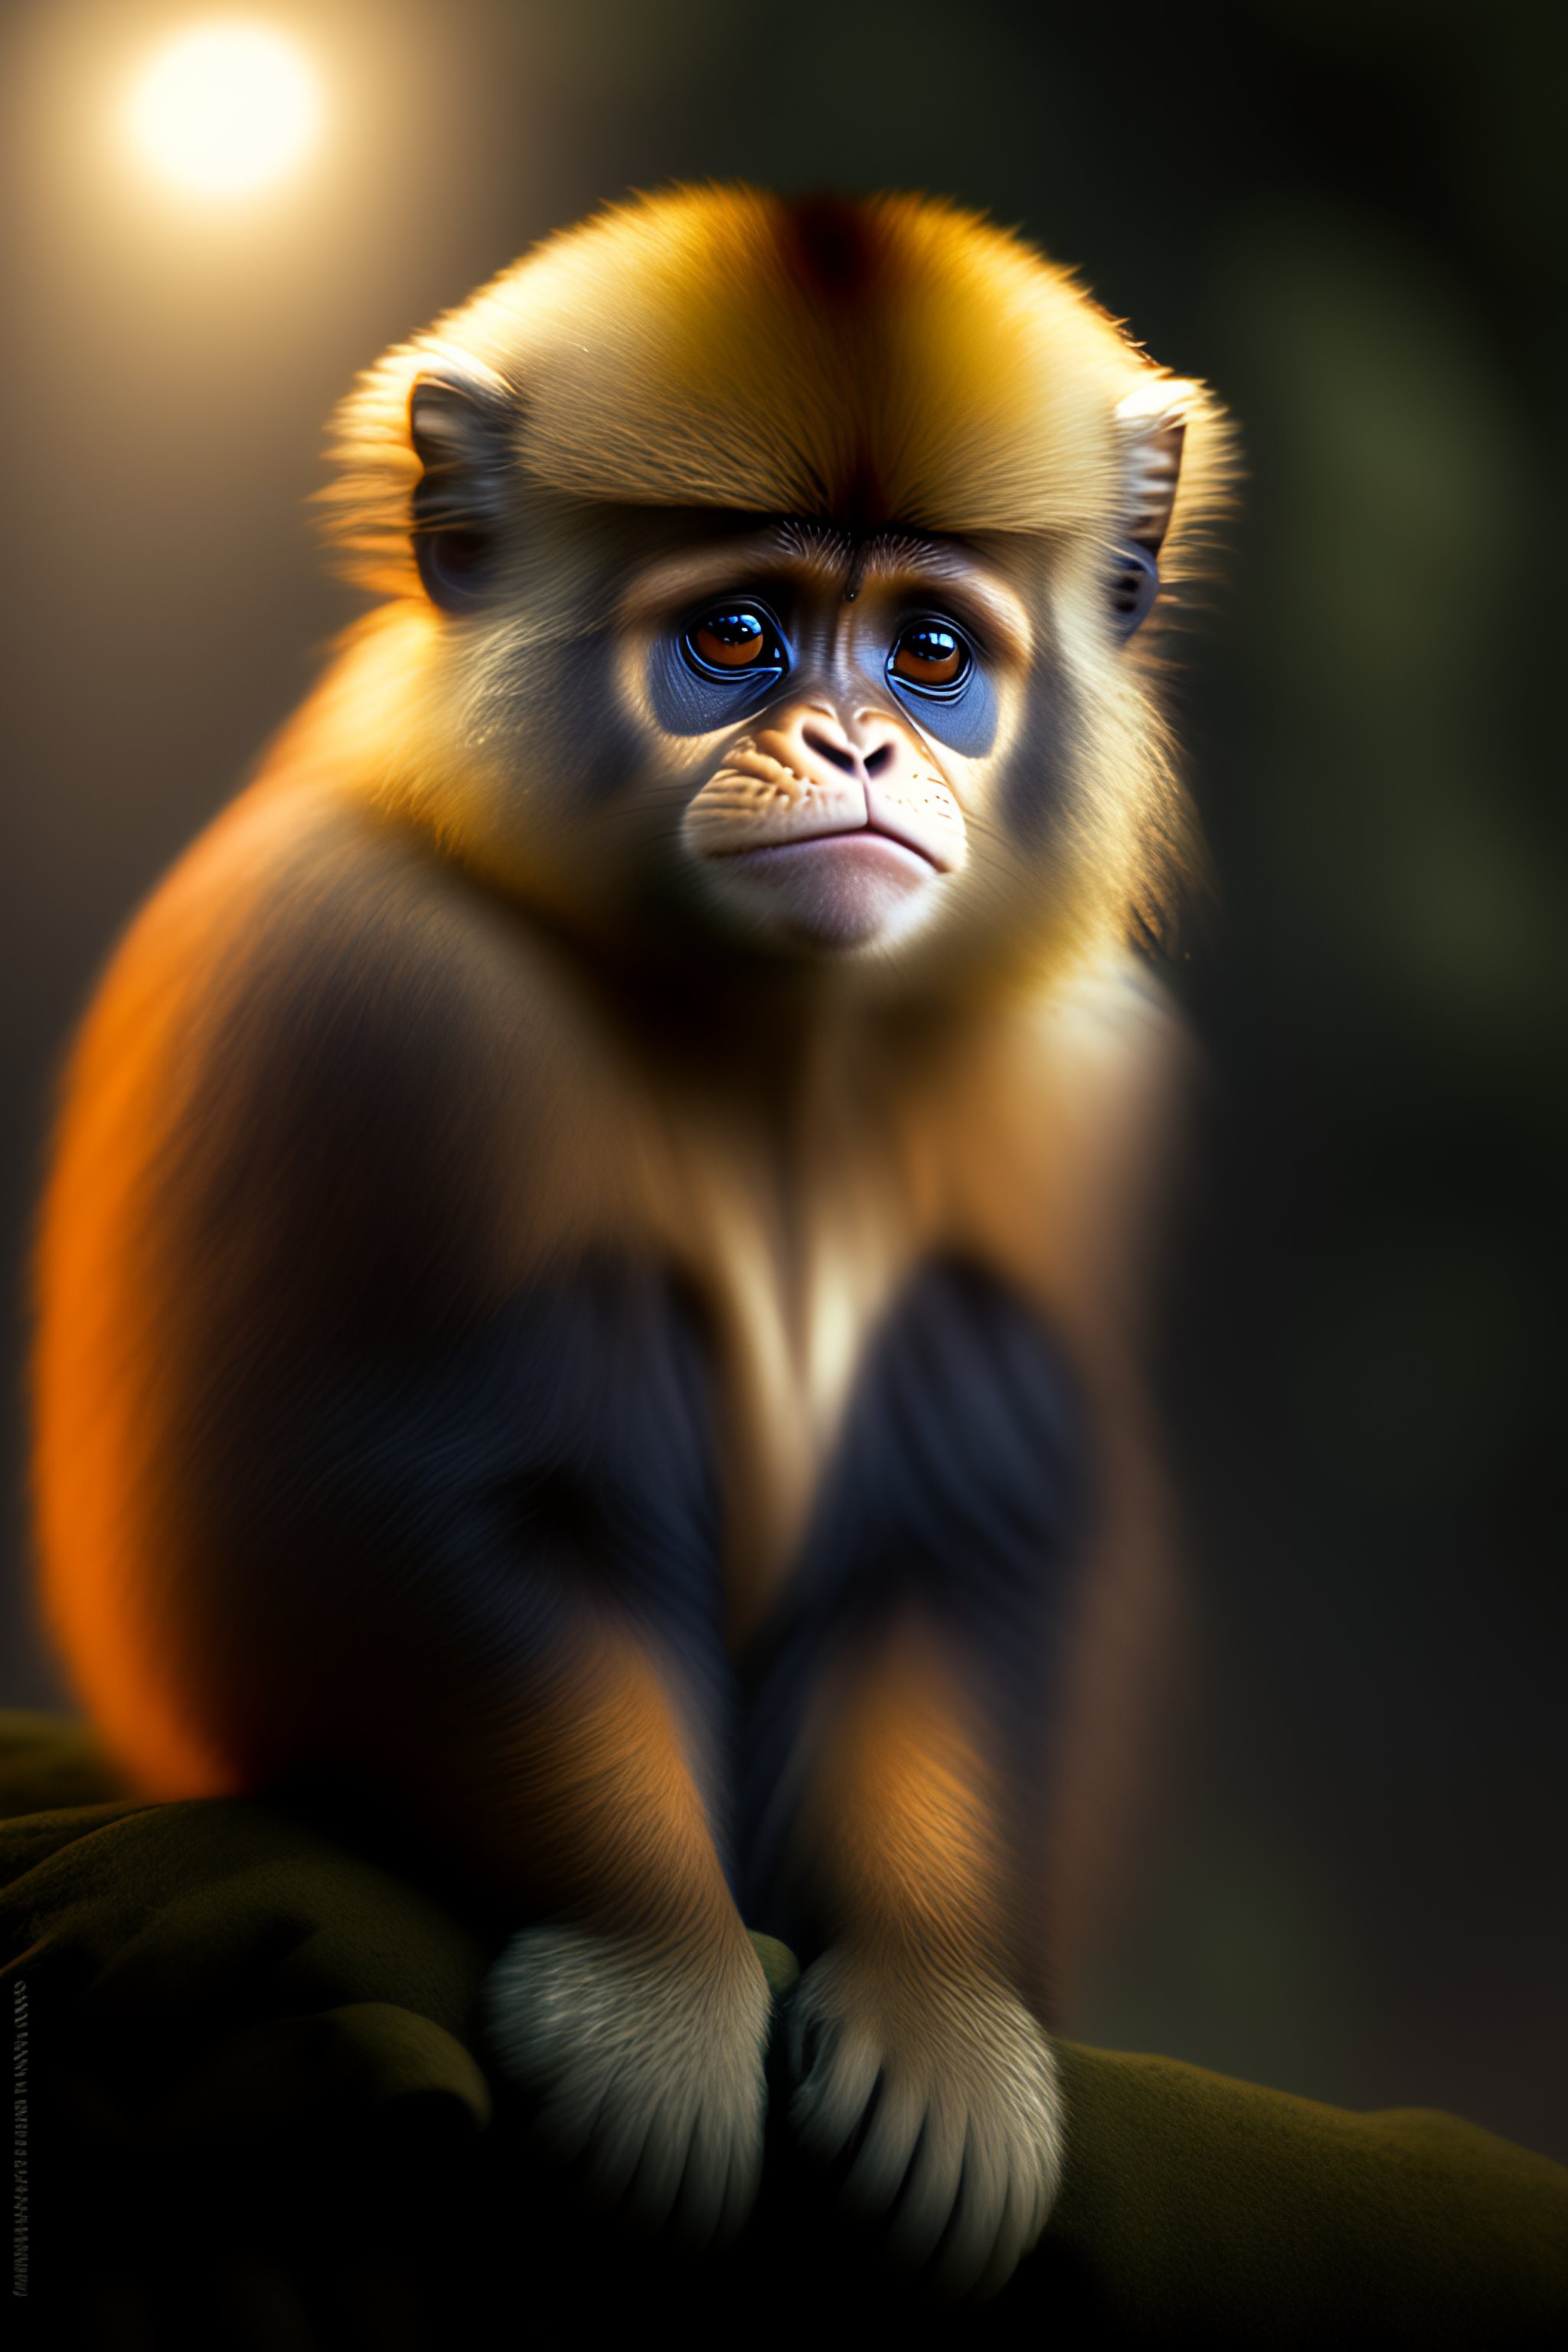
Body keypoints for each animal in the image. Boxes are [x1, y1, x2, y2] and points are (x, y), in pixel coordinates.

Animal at [30, 187, 1230, 2297]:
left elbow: (973, 1538)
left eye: (929, 649)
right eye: (736, 637)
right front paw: (656, 1993)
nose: (854, 744)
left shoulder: (1084, 1085)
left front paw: (940, 2019)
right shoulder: (378, 986)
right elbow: (415, 1492)